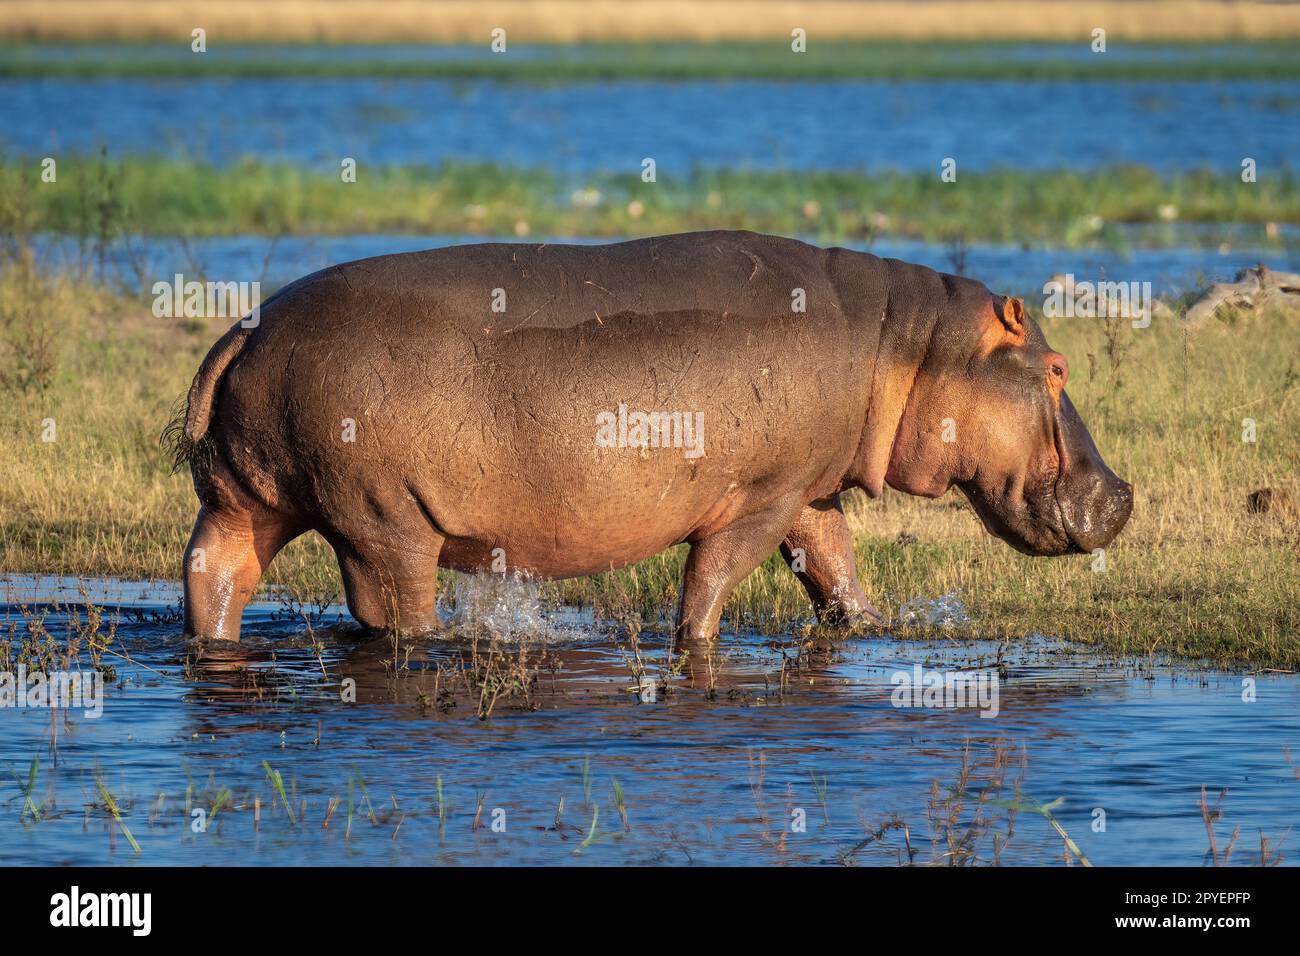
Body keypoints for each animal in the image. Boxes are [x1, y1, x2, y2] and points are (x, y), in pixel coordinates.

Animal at [169, 230, 1132, 647]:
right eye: (1057, 368)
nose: (1122, 491)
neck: (911, 342)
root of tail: (247, 330)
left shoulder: (808, 487)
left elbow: (834, 564)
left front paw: (871, 626)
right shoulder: (761, 494)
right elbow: (712, 583)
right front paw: (695, 648)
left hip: (247, 501)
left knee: (215, 575)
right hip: (383, 523)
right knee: (393, 611)